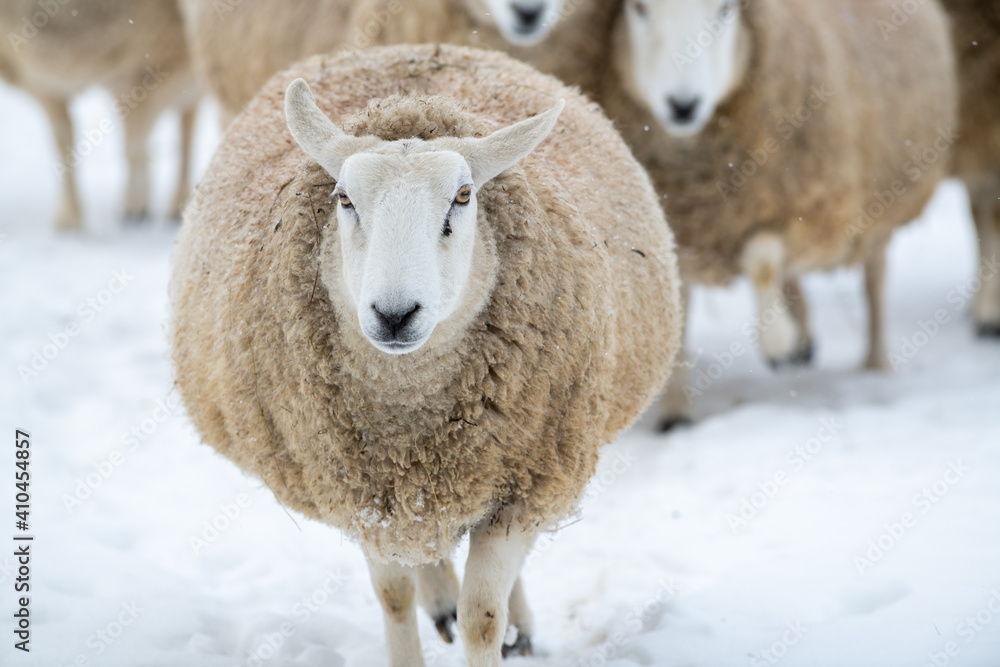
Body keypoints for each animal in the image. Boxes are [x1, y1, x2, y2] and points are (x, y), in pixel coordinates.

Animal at [0, 0, 199, 229]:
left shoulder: (157, 60)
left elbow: (133, 145)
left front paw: (134, 208)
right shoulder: (44, 81)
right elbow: (63, 144)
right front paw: (69, 219)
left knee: (180, 127)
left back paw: (170, 205)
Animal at [170, 44, 682, 666]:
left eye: (463, 196)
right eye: (344, 198)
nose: (394, 315)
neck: (410, 420)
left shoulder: (524, 486)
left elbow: (483, 615)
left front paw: (496, 629)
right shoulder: (361, 491)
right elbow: (394, 597)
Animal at [600, 0, 957, 428]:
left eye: (726, 10)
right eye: (638, 9)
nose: (683, 105)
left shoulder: (800, 205)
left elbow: (762, 260)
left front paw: (777, 344)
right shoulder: (678, 230)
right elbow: (678, 312)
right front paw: (674, 412)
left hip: (879, 201)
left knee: (874, 278)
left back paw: (874, 363)